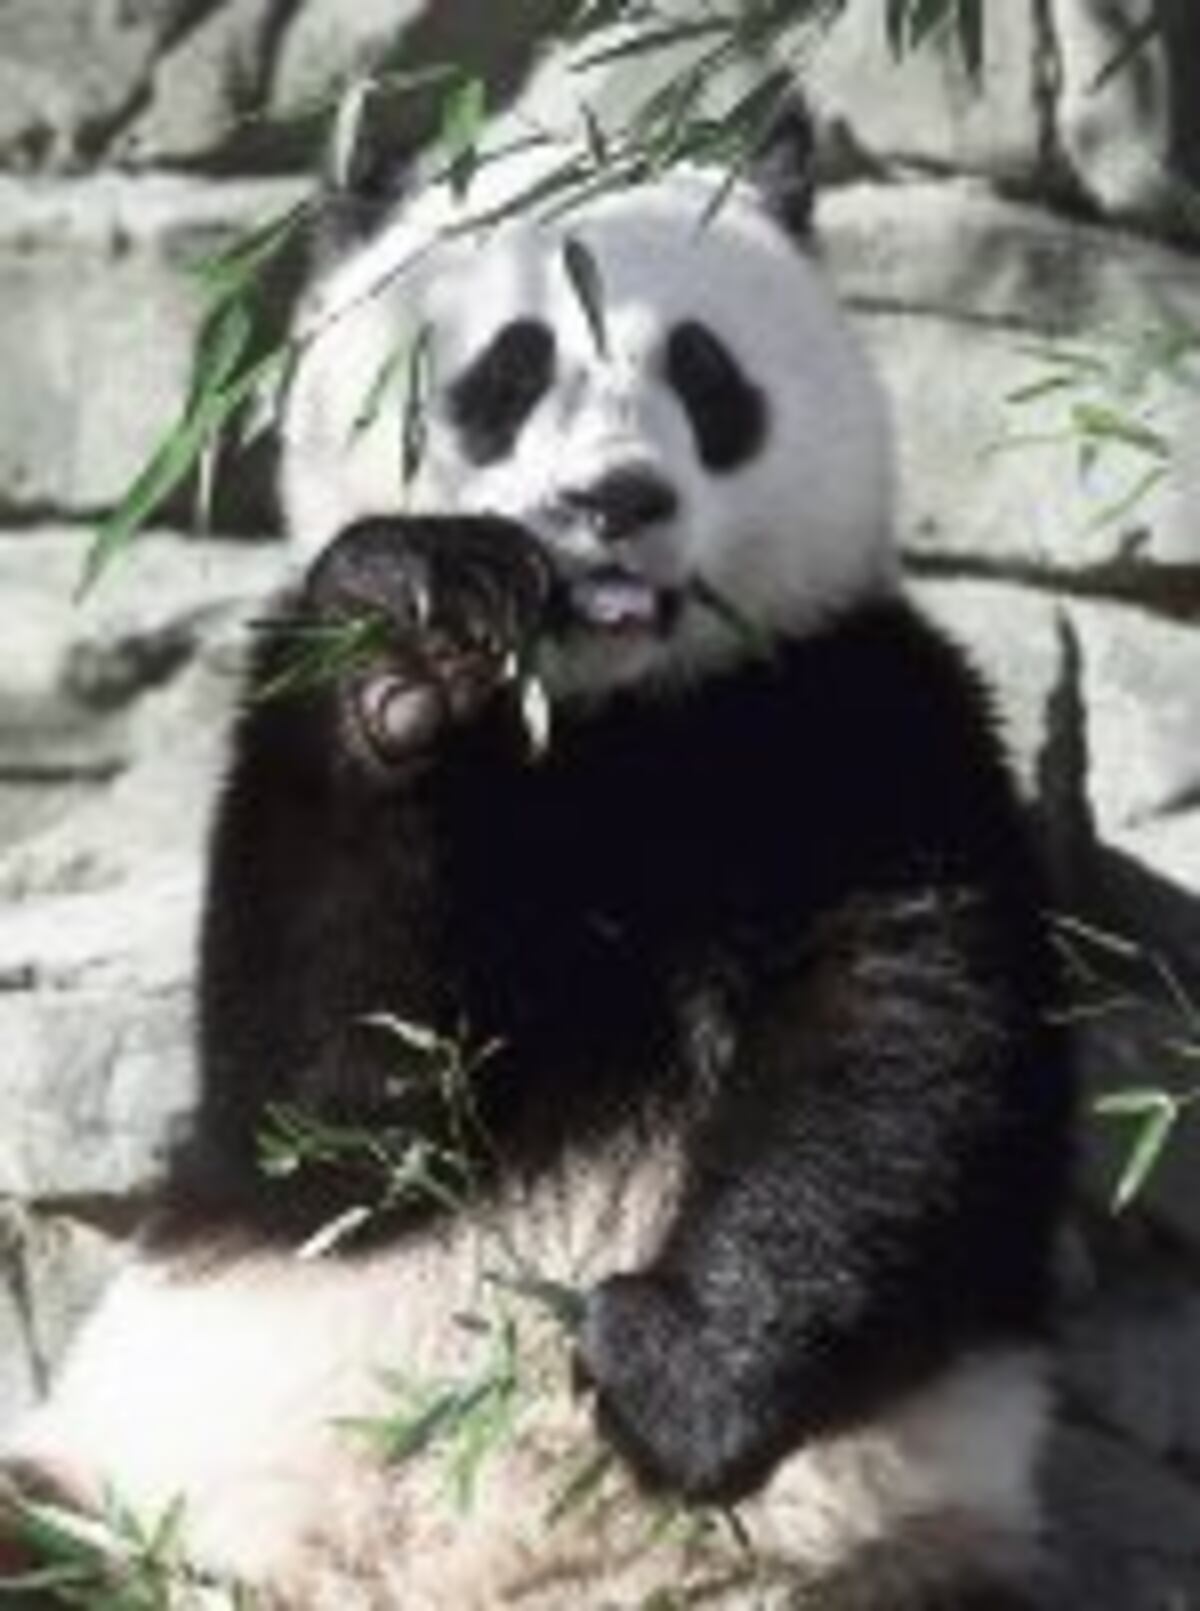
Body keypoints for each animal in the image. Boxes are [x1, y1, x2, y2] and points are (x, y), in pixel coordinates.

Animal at [2, 93, 1072, 1610]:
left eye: (706, 374)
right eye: (507, 373)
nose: (617, 499)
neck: (607, 720)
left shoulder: (846, 710)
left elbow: (898, 1037)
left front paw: (668, 1368)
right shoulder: (292, 718)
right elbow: (335, 1093)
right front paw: (418, 637)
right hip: (137, 1502)